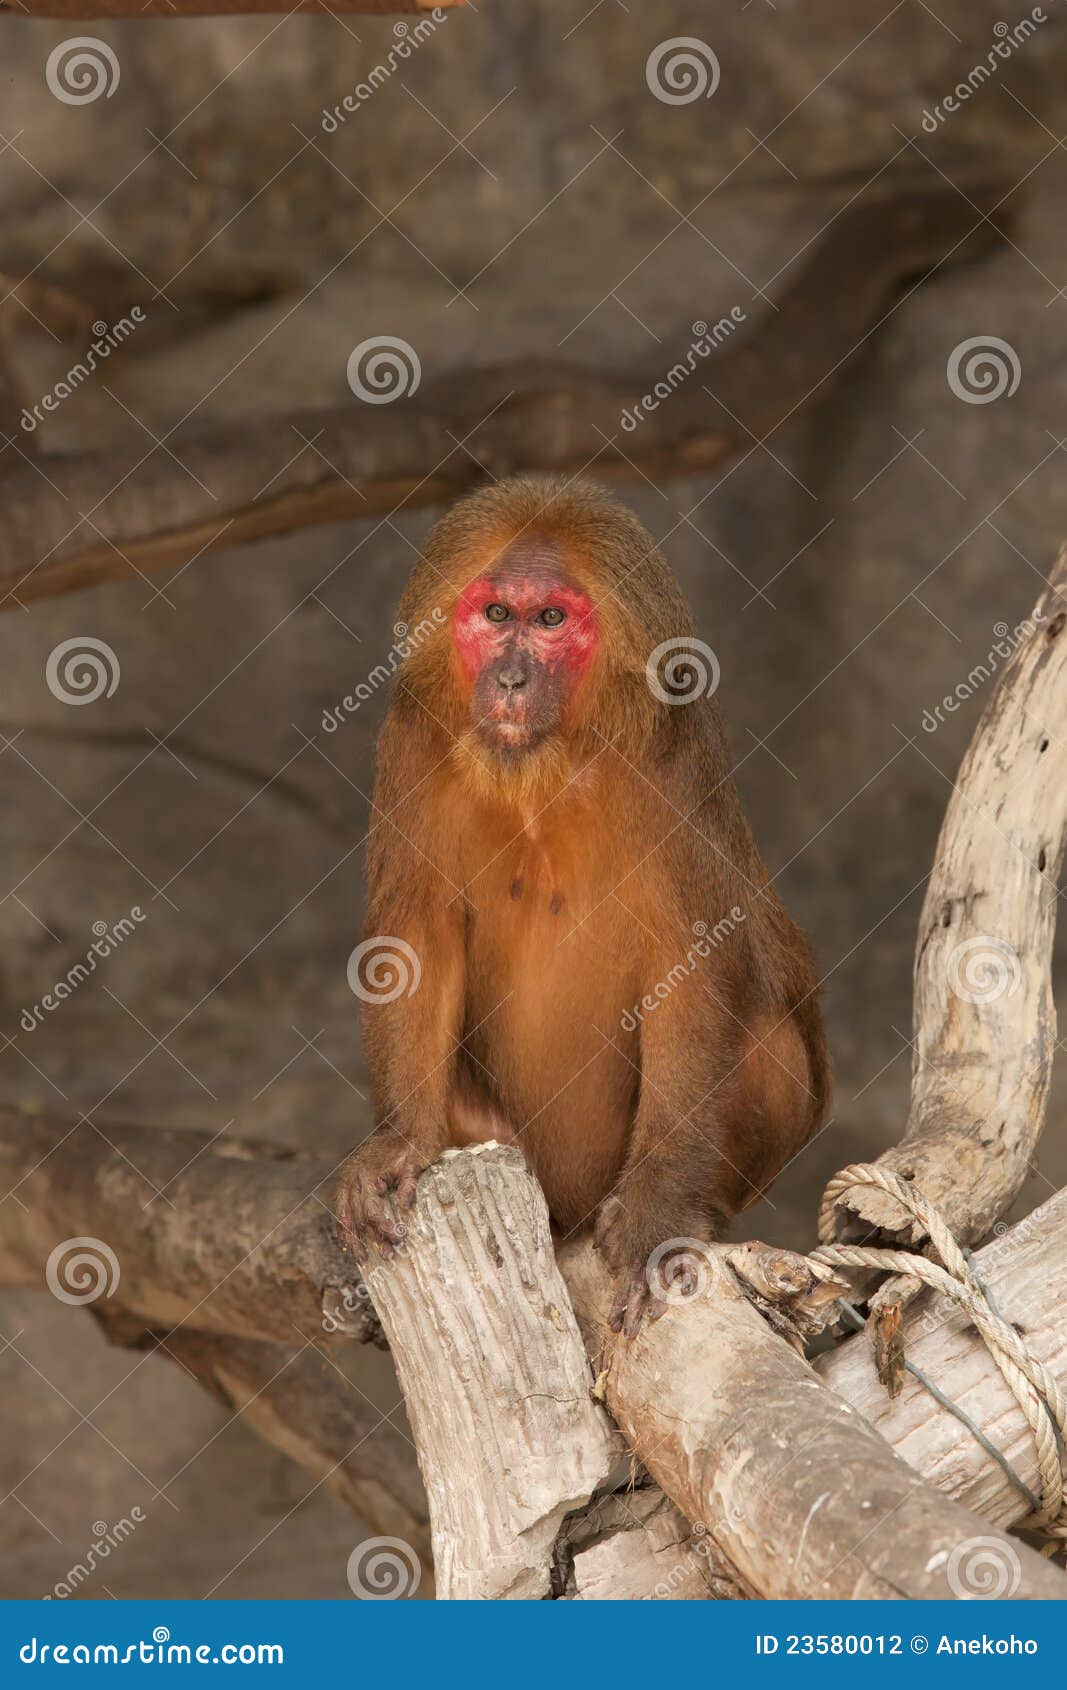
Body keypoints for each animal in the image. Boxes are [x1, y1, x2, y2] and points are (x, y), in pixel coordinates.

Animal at [334, 475, 829, 1334]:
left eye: (551, 622)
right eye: (497, 615)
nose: (509, 681)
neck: (542, 764)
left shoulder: (664, 758)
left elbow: (699, 960)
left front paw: (659, 1209)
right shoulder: (415, 736)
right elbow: (413, 938)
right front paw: (400, 1142)